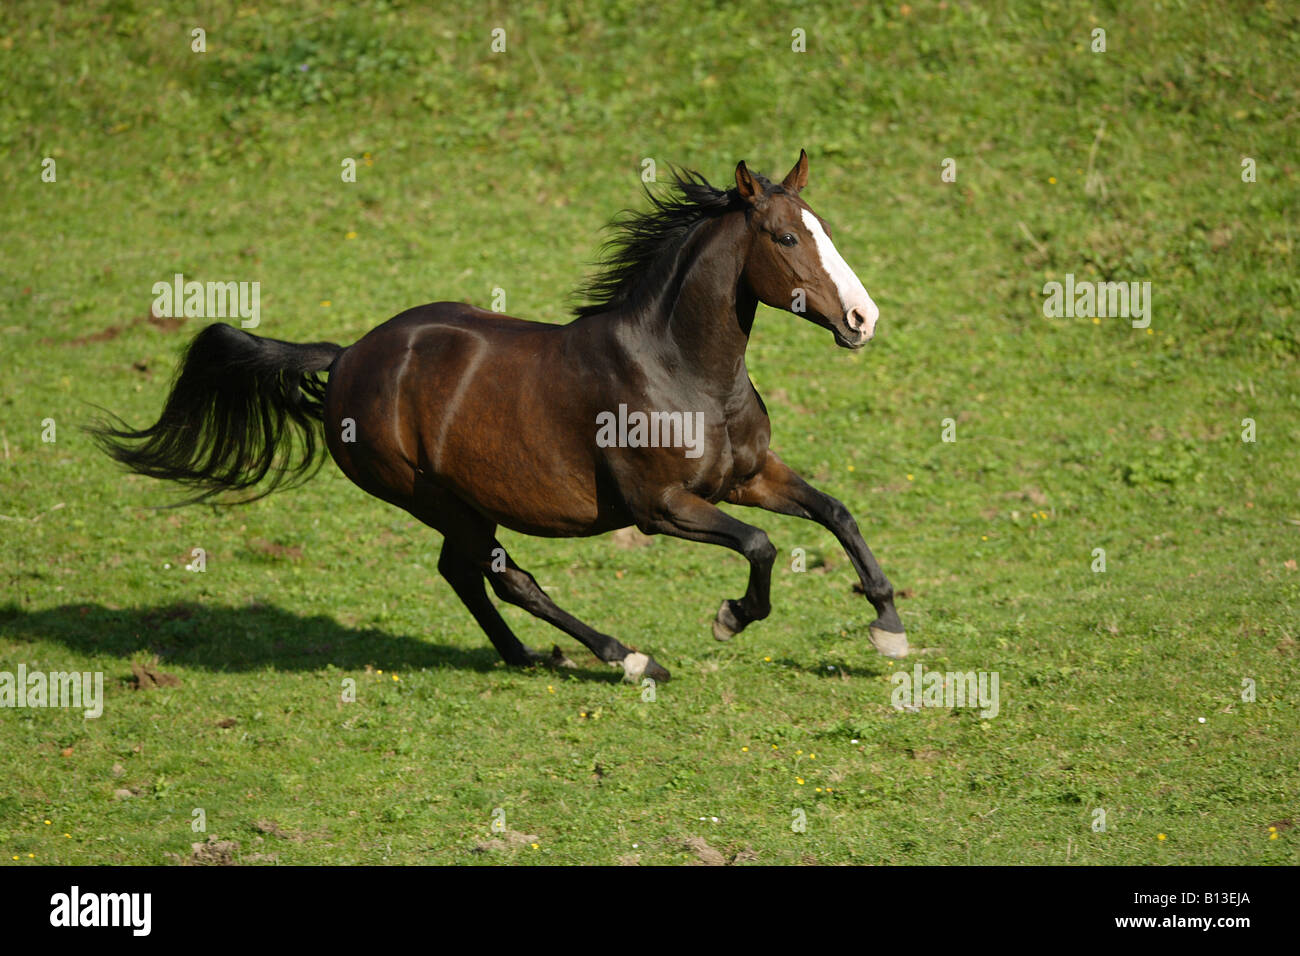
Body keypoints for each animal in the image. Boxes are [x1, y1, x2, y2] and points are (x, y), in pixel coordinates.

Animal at [91, 150, 909, 684]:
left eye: (824, 226)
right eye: (785, 237)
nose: (862, 319)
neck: (681, 372)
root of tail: (348, 355)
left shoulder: (749, 475)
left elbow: (835, 512)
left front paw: (889, 629)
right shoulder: (661, 507)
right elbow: (762, 546)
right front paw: (731, 617)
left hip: (463, 499)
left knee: (468, 573)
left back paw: (522, 656)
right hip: (430, 495)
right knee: (504, 575)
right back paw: (627, 658)